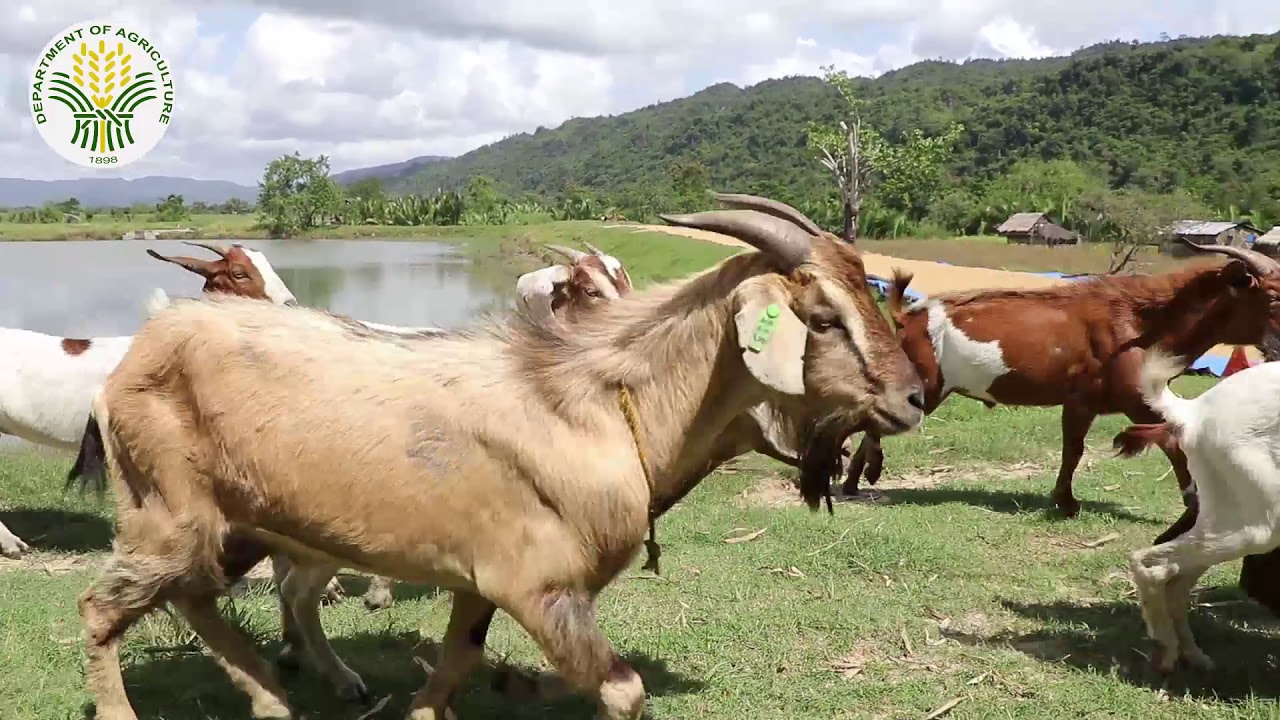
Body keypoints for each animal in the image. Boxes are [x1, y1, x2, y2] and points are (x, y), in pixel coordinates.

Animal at [69, 191, 924, 720]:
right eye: (823, 317)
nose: (914, 396)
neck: (596, 408)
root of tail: (138, 352)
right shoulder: (541, 587)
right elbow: (623, 690)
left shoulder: (479, 581)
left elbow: (456, 665)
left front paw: (444, 696)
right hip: (165, 512)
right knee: (103, 607)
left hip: (240, 522)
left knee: (198, 598)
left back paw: (280, 697)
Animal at [840, 240, 1280, 516]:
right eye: (1273, 297)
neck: (1141, 324)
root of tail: (909, 314)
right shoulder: (1102, 399)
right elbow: (1087, 448)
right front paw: (1067, 503)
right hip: (929, 385)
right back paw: (866, 473)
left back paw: (853, 482)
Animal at [1112, 351, 1280, 672]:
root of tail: (1194, 411)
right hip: (1261, 524)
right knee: (1150, 564)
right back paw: (1166, 647)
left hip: (1224, 516)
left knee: (1175, 579)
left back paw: (1192, 654)